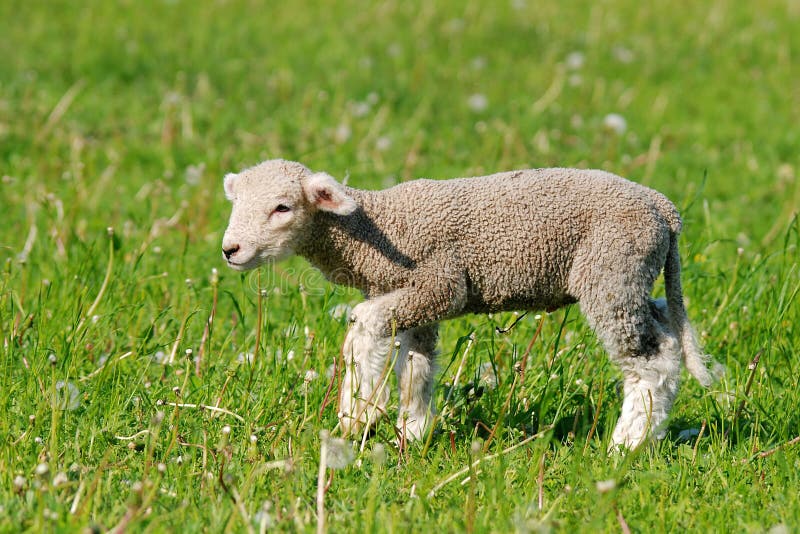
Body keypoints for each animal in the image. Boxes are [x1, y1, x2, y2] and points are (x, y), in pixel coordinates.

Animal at [221, 158, 715, 449]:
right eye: (235, 203)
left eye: (283, 207)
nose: (230, 250)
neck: (375, 229)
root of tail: (664, 209)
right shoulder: (418, 299)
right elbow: (416, 365)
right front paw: (412, 433)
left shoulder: (438, 281)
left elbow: (365, 326)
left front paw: (357, 414)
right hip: (632, 275)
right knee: (666, 332)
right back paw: (649, 437)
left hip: (609, 271)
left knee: (650, 363)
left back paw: (625, 446)